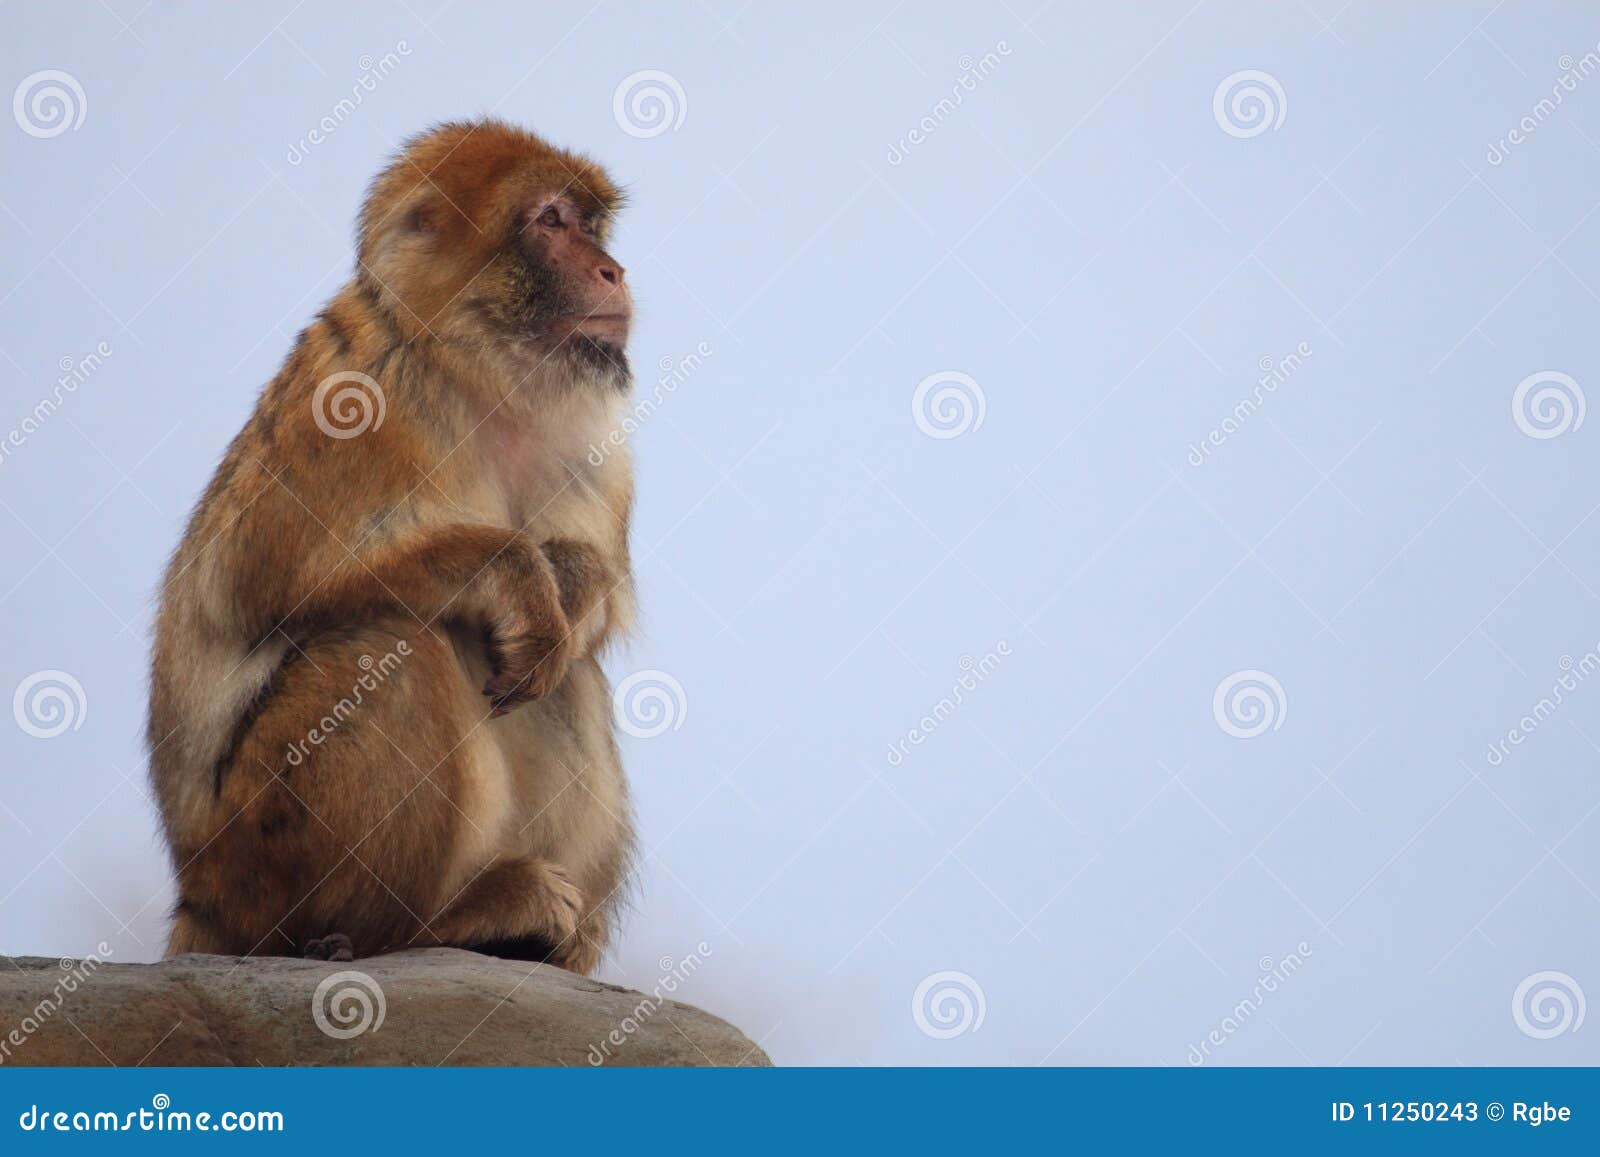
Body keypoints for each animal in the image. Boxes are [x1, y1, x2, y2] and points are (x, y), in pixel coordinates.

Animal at [145, 119, 640, 974]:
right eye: (550, 220)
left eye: (591, 223)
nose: (613, 270)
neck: (473, 370)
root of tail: (197, 898)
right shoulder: (358, 403)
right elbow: (266, 579)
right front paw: (517, 575)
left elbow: (593, 583)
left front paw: (570, 584)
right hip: (256, 857)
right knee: (391, 643)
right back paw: (412, 927)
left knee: (567, 678)